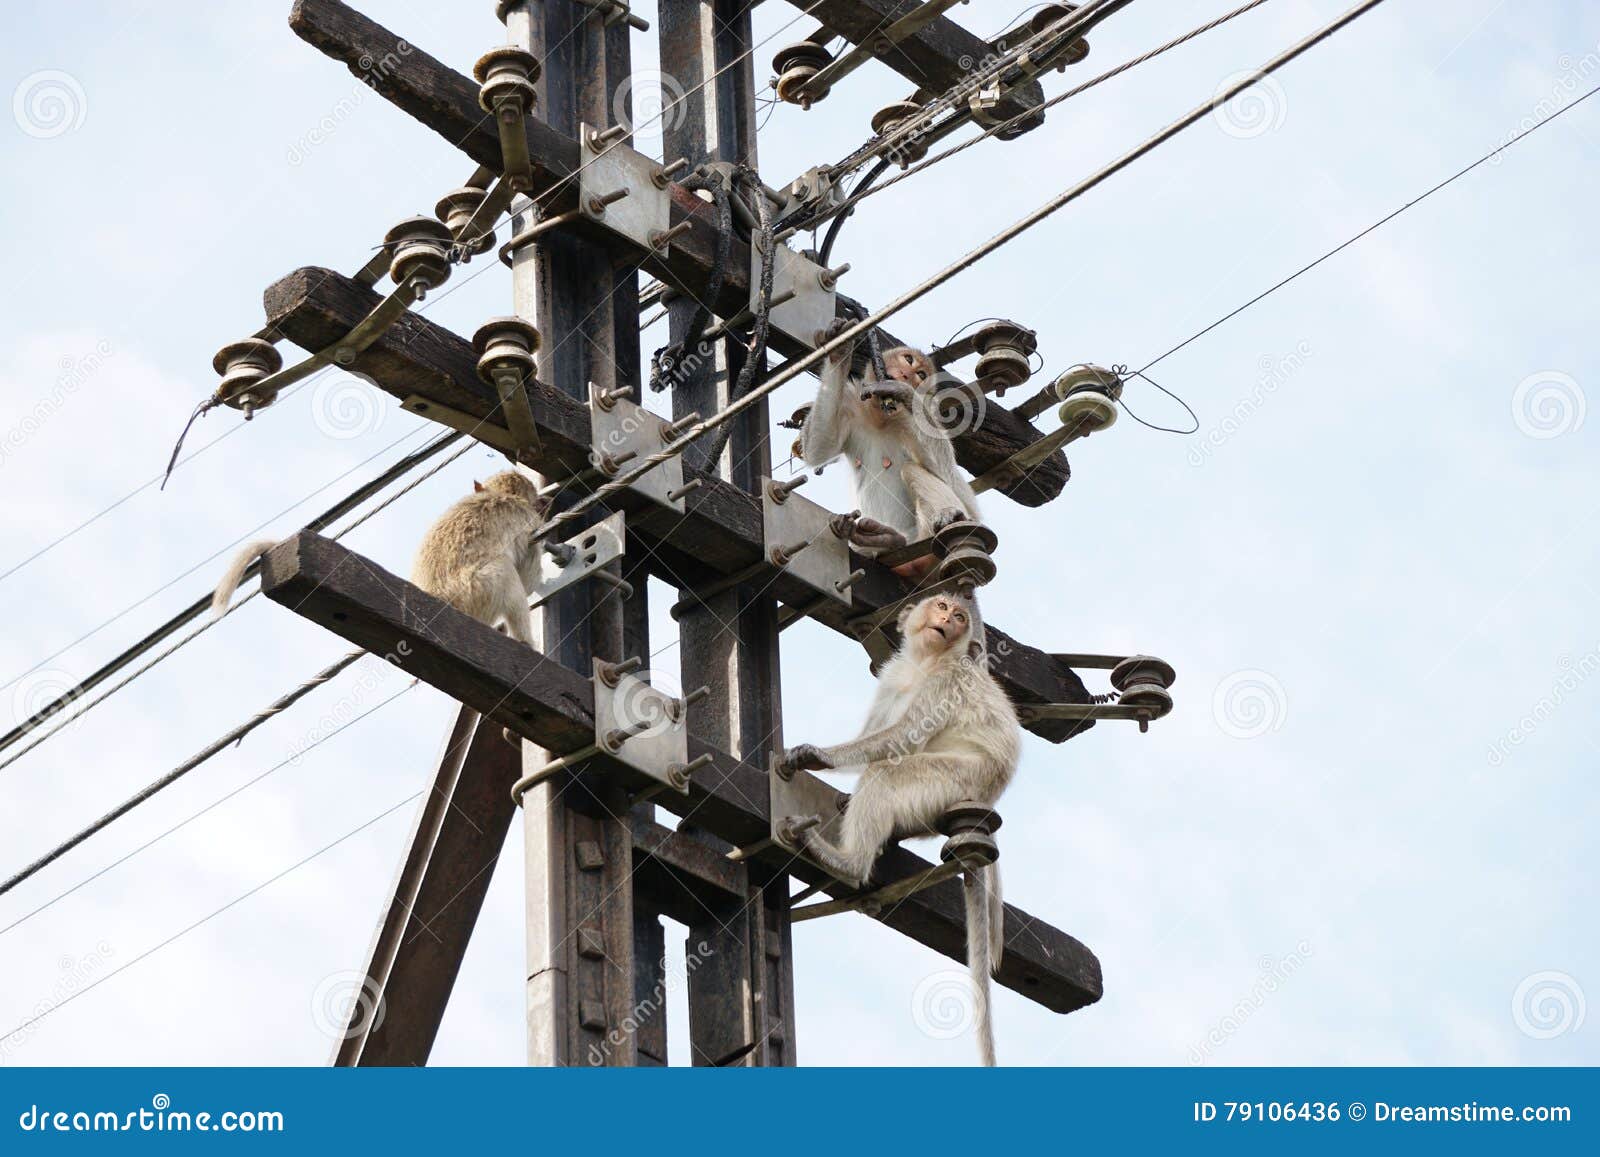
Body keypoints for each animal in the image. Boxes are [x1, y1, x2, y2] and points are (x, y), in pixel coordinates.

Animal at [210, 471, 552, 644]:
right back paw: (526, 643)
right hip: (474, 594)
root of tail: (437, 598)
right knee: (503, 571)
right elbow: (528, 577)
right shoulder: (527, 524)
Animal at [776, 591, 1019, 1065]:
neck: (926, 663)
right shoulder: (894, 676)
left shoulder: (947, 681)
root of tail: (986, 797)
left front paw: (818, 756)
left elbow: (899, 739)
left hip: (952, 780)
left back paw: (848, 863)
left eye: (959, 616)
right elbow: (881, 730)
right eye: (943, 607)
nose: (949, 619)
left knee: (888, 774)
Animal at [800, 319, 982, 579]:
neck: (881, 417)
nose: (906, 375)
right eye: (908, 360)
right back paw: (883, 540)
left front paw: (904, 392)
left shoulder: (927, 413)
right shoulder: (851, 406)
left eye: (921, 375)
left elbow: (951, 478)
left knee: (912, 470)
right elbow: (818, 448)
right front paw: (839, 350)